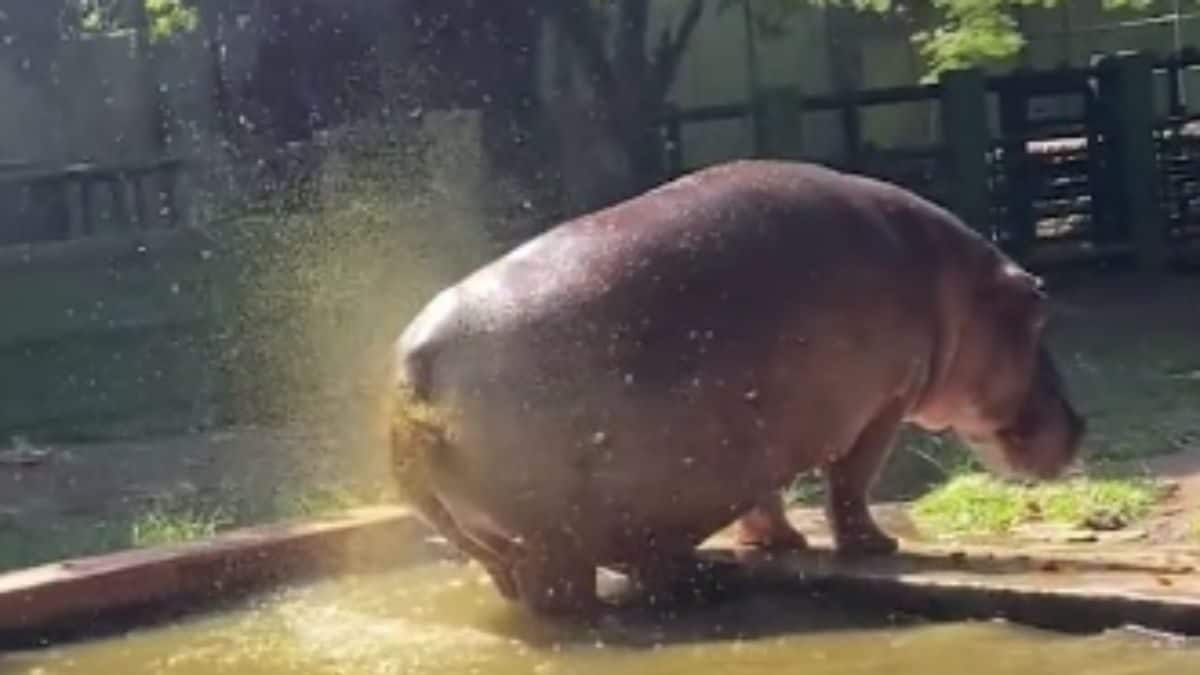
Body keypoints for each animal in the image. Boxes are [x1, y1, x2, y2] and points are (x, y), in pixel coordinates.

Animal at [387, 159, 1085, 615]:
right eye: (1040, 310)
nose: (1081, 427)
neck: (955, 287)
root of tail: (413, 384)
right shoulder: (881, 405)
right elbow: (851, 482)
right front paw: (877, 546)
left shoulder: (760, 428)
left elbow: (766, 494)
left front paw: (778, 543)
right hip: (549, 546)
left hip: (501, 544)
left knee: (515, 579)